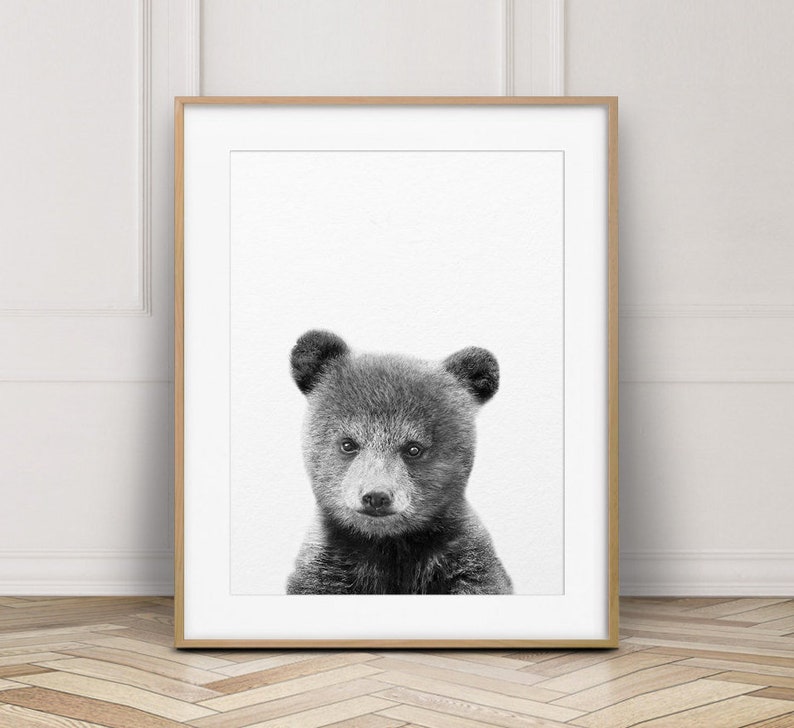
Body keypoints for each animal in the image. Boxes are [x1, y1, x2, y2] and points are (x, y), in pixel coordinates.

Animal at [285, 330, 513, 595]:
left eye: (413, 448)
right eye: (348, 444)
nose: (376, 496)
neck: (390, 548)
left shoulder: (468, 565)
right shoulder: (324, 571)